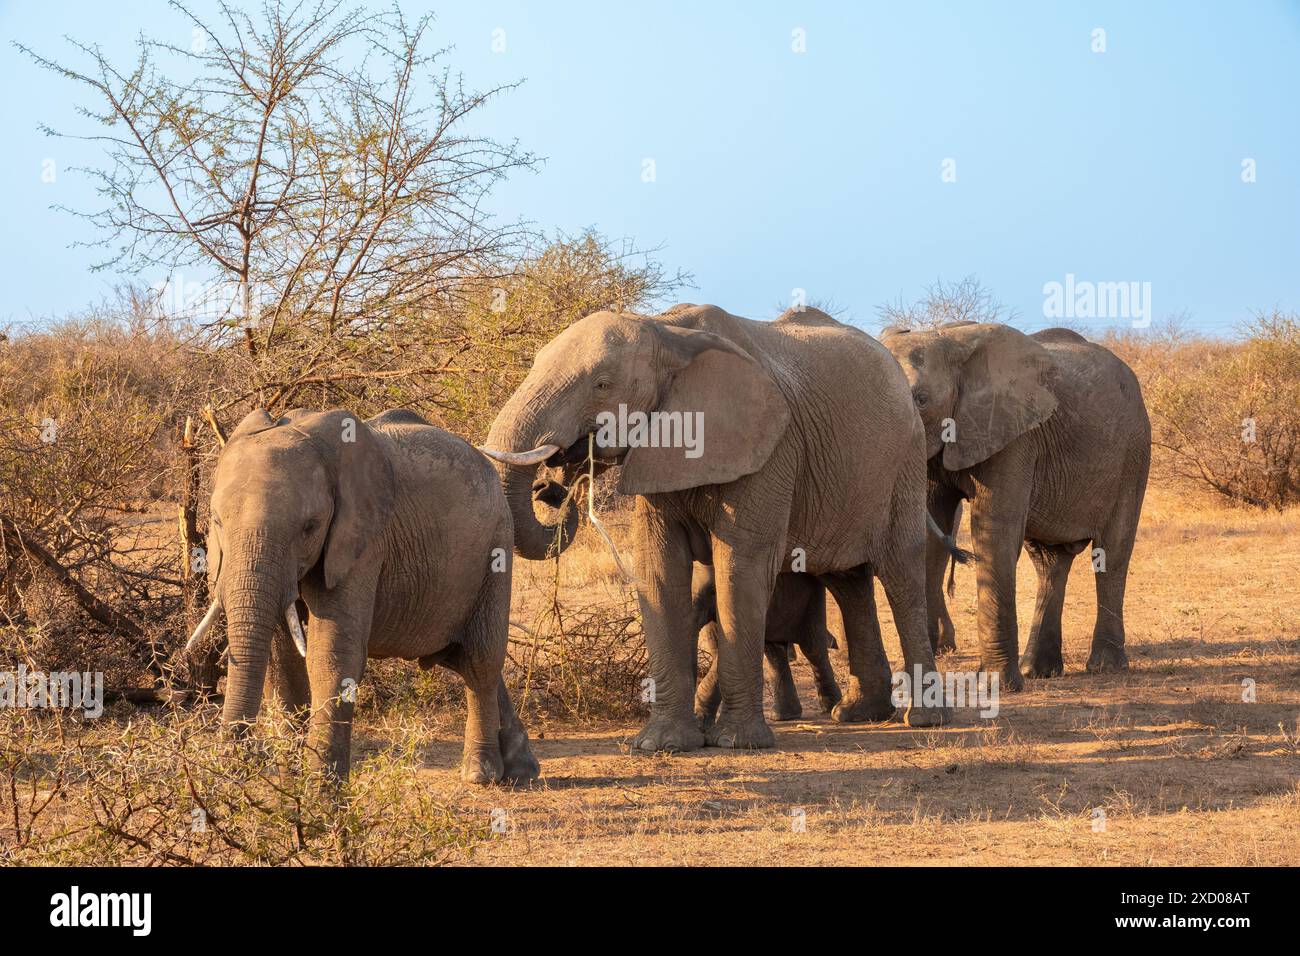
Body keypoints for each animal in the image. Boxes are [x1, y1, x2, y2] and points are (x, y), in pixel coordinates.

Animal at [182, 407, 539, 784]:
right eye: (217, 522)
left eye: (310, 527)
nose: (235, 766)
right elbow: (281, 659)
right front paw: (291, 782)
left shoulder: (363, 543)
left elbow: (331, 655)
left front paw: (321, 788)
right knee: (455, 655)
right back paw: (522, 769)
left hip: (497, 545)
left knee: (480, 659)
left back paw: (481, 774)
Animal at [691, 565, 842, 722]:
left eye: (713, 591)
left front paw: (699, 719)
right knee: (774, 649)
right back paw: (784, 716)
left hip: (812, 594)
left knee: (812, 647)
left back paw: (831, 707)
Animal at [881, 322, 1151, 689]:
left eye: (921, 400)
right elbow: (929, 538)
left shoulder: (1014, 435)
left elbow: (994, 530)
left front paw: (994, 685)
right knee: (1049, 562)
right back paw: (1037, 670)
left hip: (1133, 453)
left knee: (1113, 551)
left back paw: (1104, 667)